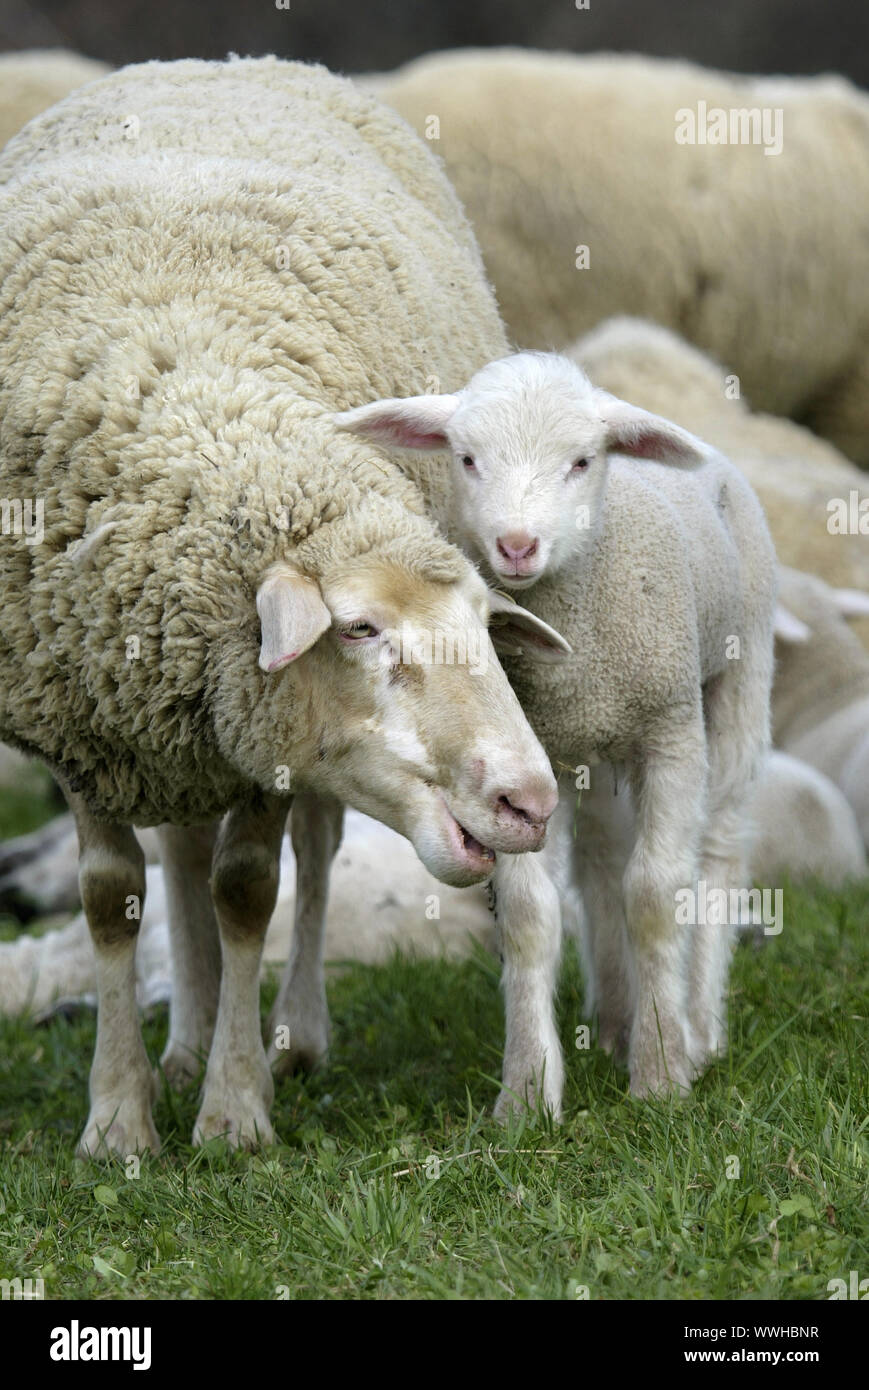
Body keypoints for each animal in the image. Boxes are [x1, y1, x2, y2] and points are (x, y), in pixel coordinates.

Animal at [0, 56, 570, 1156]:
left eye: (483, 630)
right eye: (359, 628)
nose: (529, 798)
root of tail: (213, 63)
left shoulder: (257, 724)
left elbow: (250, 889)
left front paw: (234, 1112)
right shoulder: (84, 714)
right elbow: (112, 898)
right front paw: (120, 1119)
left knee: (305, 854)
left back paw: (290, 1038)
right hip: (172, 729)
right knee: (178, 854)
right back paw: (181, 1043)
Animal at [337, 350, 778, 1100]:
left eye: (580, 461)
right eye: (467, 458)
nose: (516, 545)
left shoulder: (669, 732)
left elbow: (654, 894)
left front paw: (662, 1075)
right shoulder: (525, 751)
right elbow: (529, 916)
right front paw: (526, 1090)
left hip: (739, 673)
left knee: (717, 848)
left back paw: (698, 1025)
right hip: (590, 749)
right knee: (600, 862)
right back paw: (615, 1021)